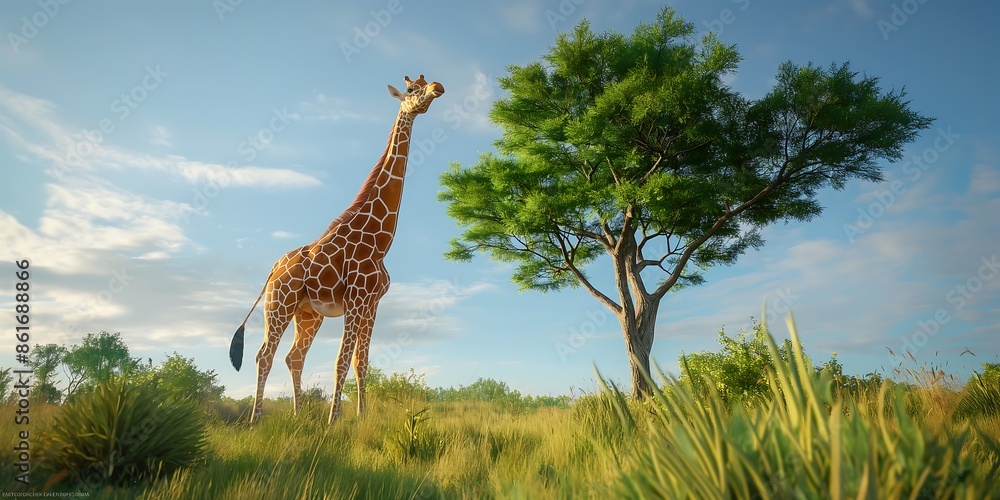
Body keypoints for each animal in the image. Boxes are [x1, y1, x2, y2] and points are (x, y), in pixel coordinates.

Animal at [229, 74, 444, 424]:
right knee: (265, 355)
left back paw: (298, 415)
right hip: (279, 304)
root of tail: (273, 268)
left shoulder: (372, 304)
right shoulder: (356, 300)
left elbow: (361, 363)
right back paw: (256, 419)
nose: (438, 87)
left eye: (427, 83)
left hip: (307, 314)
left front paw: (361, 417)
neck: (380, 241)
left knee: (294, 357)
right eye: (412, 89)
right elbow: (341, 361)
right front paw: (333, 421)